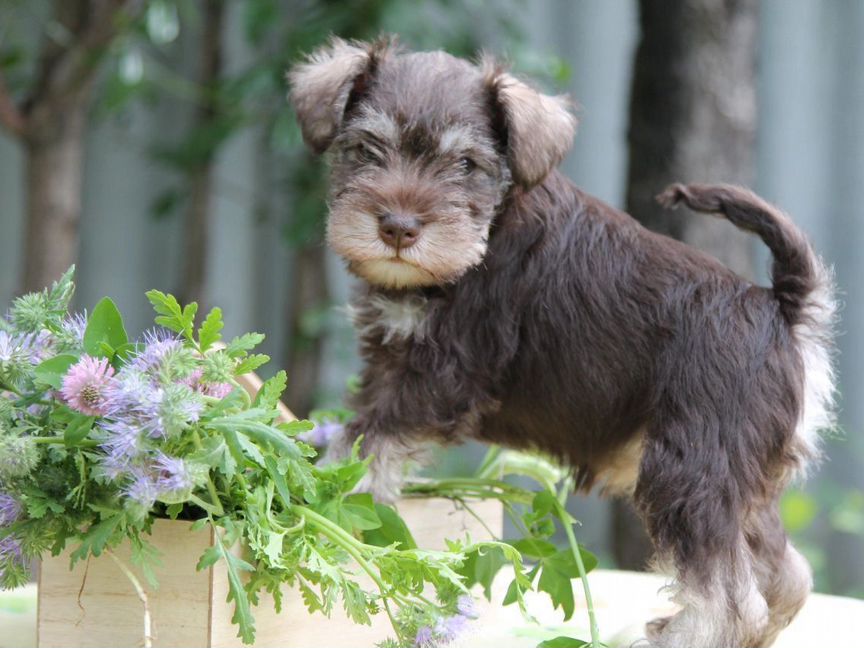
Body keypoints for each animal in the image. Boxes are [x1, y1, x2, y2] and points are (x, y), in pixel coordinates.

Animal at [290, 39, 836, 648]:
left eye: (466, 164)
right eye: (366, 149)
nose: (399, 228)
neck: (489, 231)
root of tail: (785, 310)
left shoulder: (438, 376)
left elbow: (364, 445)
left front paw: (319, 495)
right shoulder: (391, 368)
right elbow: (361, 434)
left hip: (692, 468)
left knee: (731, 599)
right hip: (742, 477)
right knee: (785, 575)